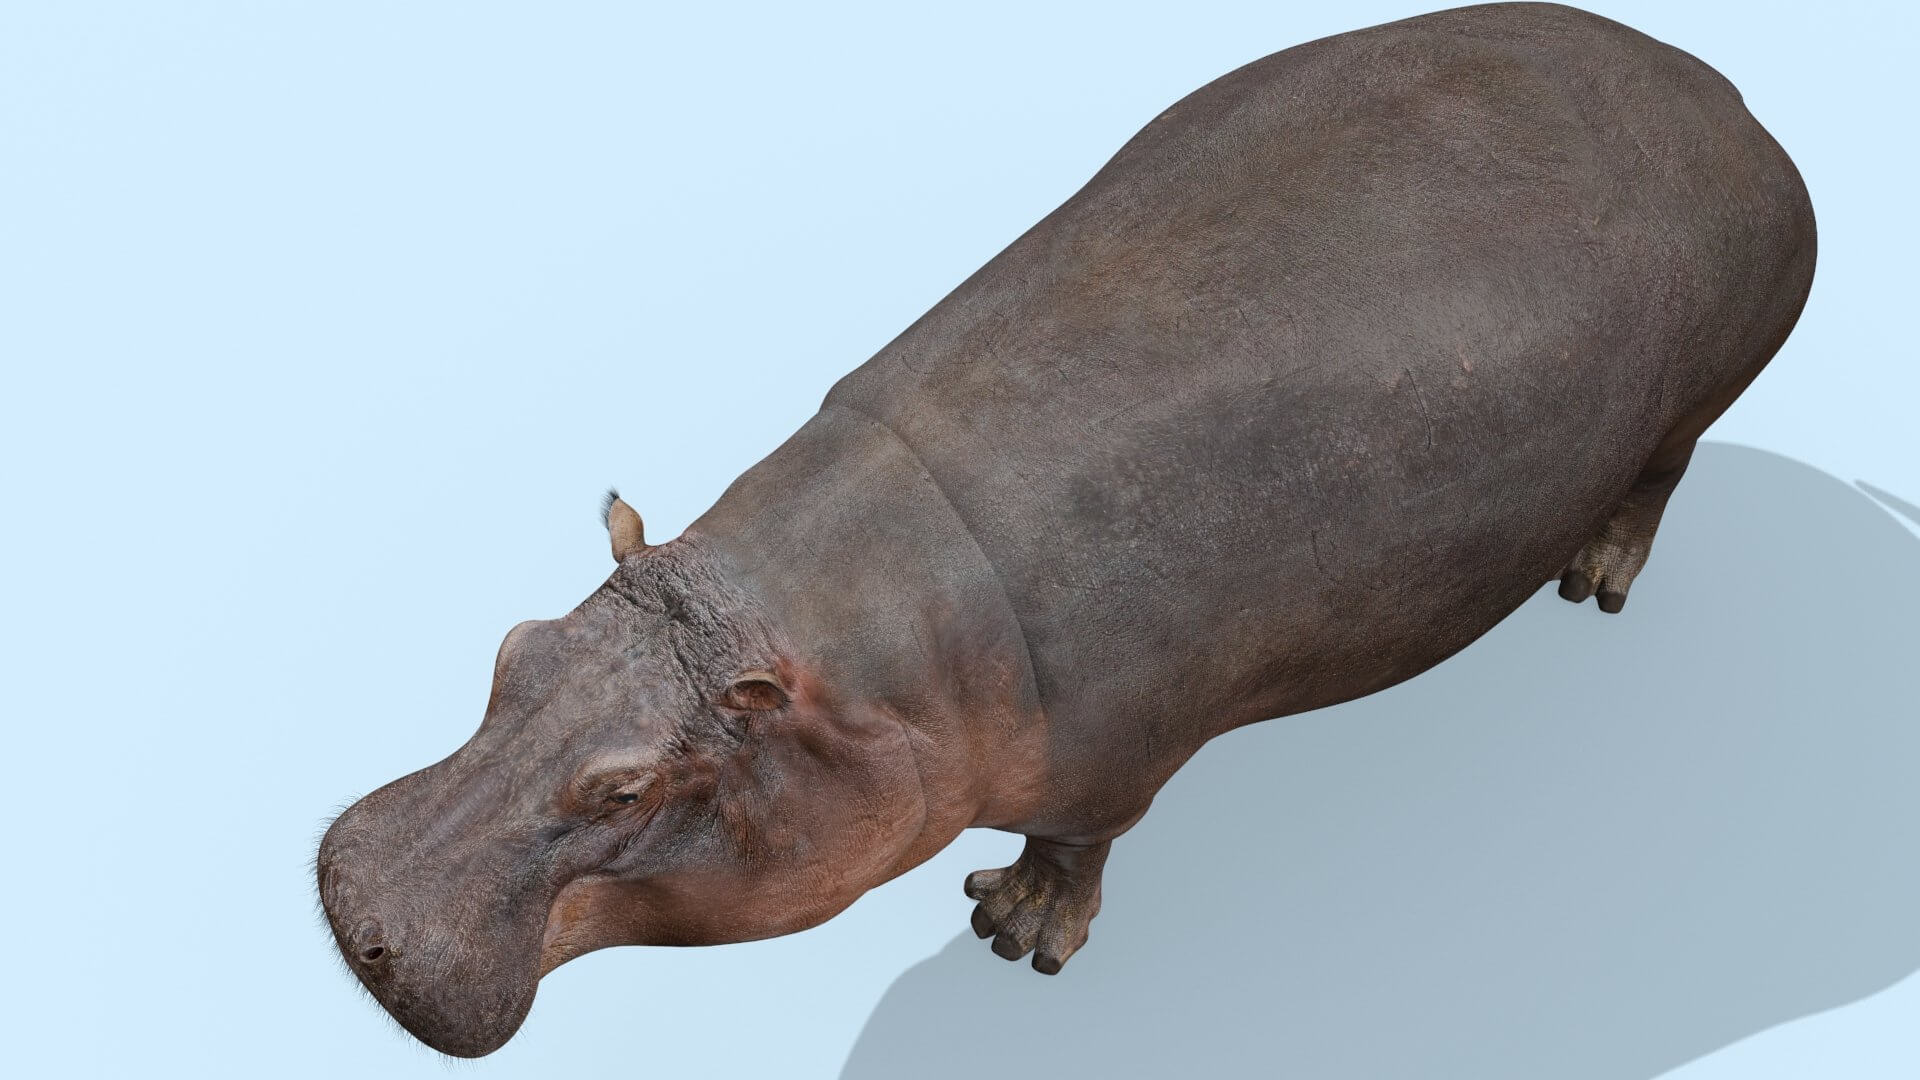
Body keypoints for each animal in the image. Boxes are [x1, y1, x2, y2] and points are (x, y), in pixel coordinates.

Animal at [317, 1, 1814, 1057]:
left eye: (625, 791)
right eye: (514, 650)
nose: (357, 911)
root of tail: (1722, 92)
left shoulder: (1116, 759)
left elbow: (1082, 839)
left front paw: (1017, 932)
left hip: (1696, 400)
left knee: (1657, 479)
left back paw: (1595, 579)